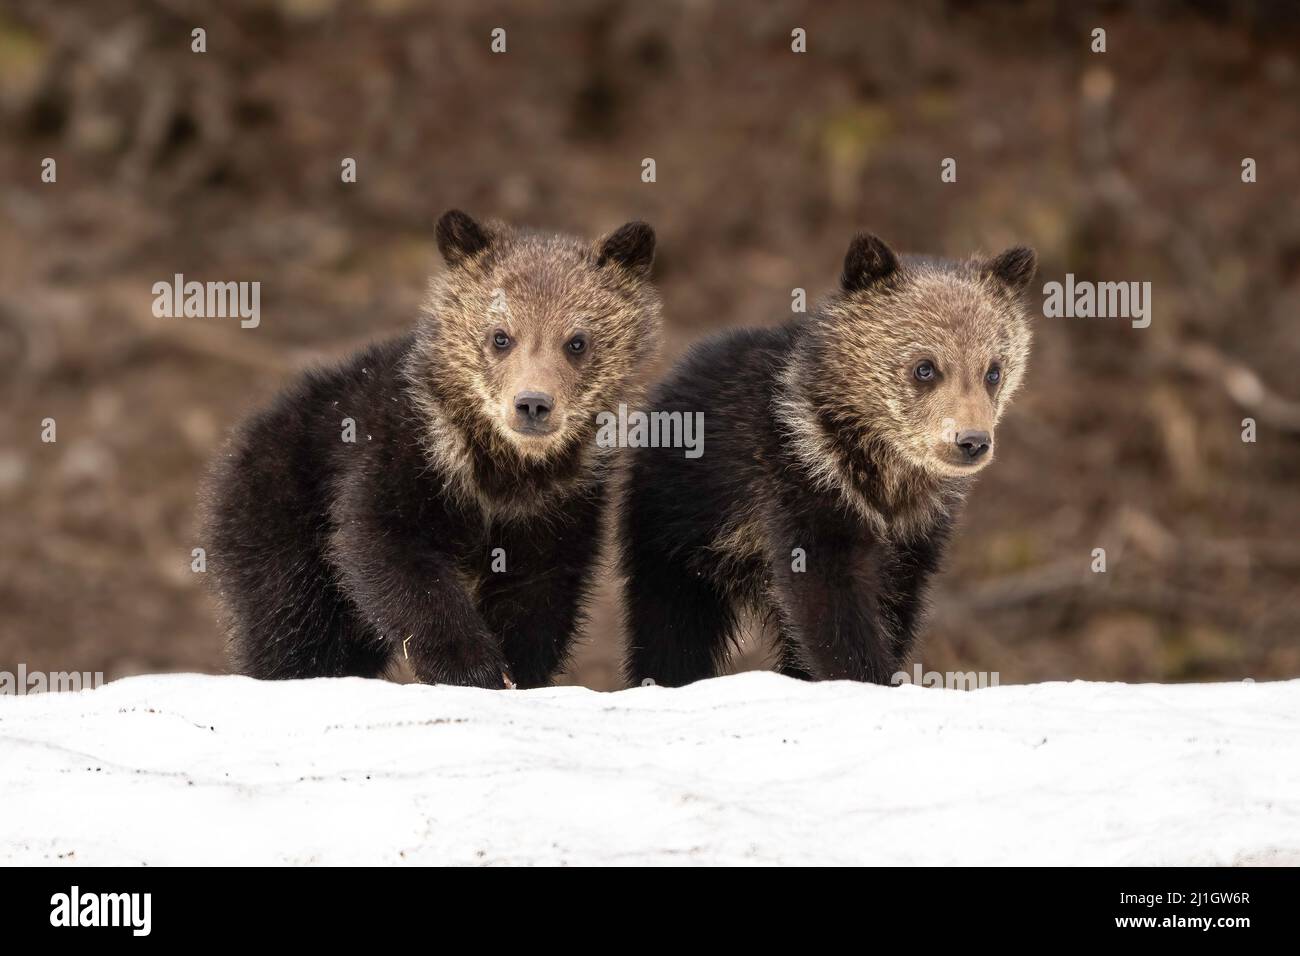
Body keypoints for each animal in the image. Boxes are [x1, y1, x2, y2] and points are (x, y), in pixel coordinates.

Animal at [203, 210, 661, 688]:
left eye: (577, 341)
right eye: (501, 336)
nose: (532, 404)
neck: (502, 470)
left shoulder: (558, 507)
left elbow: (538, 595)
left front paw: (516, 672)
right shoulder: (397, 455)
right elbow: (387, 549)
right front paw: (471, 665)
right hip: (281, 517)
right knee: (291, 627)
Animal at [620, 232, 1036, 686]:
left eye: (993, 370)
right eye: (924, 367)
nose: (971, 440)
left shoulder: (915, 533)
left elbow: (894, 605)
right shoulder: (802, 484)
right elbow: (828, 601)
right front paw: (867, 675)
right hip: (680, 525)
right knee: (671, 623)